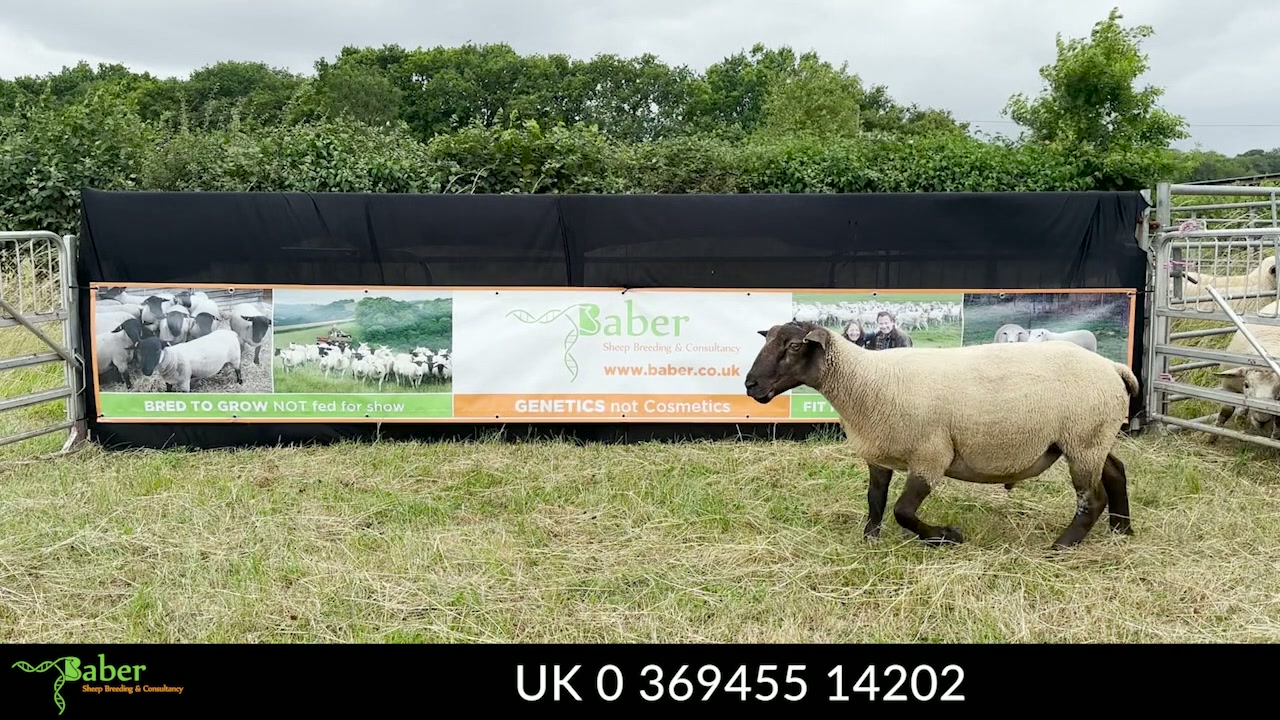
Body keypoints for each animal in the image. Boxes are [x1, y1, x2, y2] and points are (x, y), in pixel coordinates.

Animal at [744, 321, 1139, 550]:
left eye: (794, 346)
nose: (751, 385)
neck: (865, 379)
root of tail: (1114, 367)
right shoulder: (879, 453)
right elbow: (875, 500)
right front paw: (869, 541)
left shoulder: (930, 455)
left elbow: (902, 511)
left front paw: (947, 536)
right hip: (1091, 439)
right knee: (1116, 472)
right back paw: (1122, 530)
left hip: (1083, 439)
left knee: (1092, 498)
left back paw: (1062, 546)